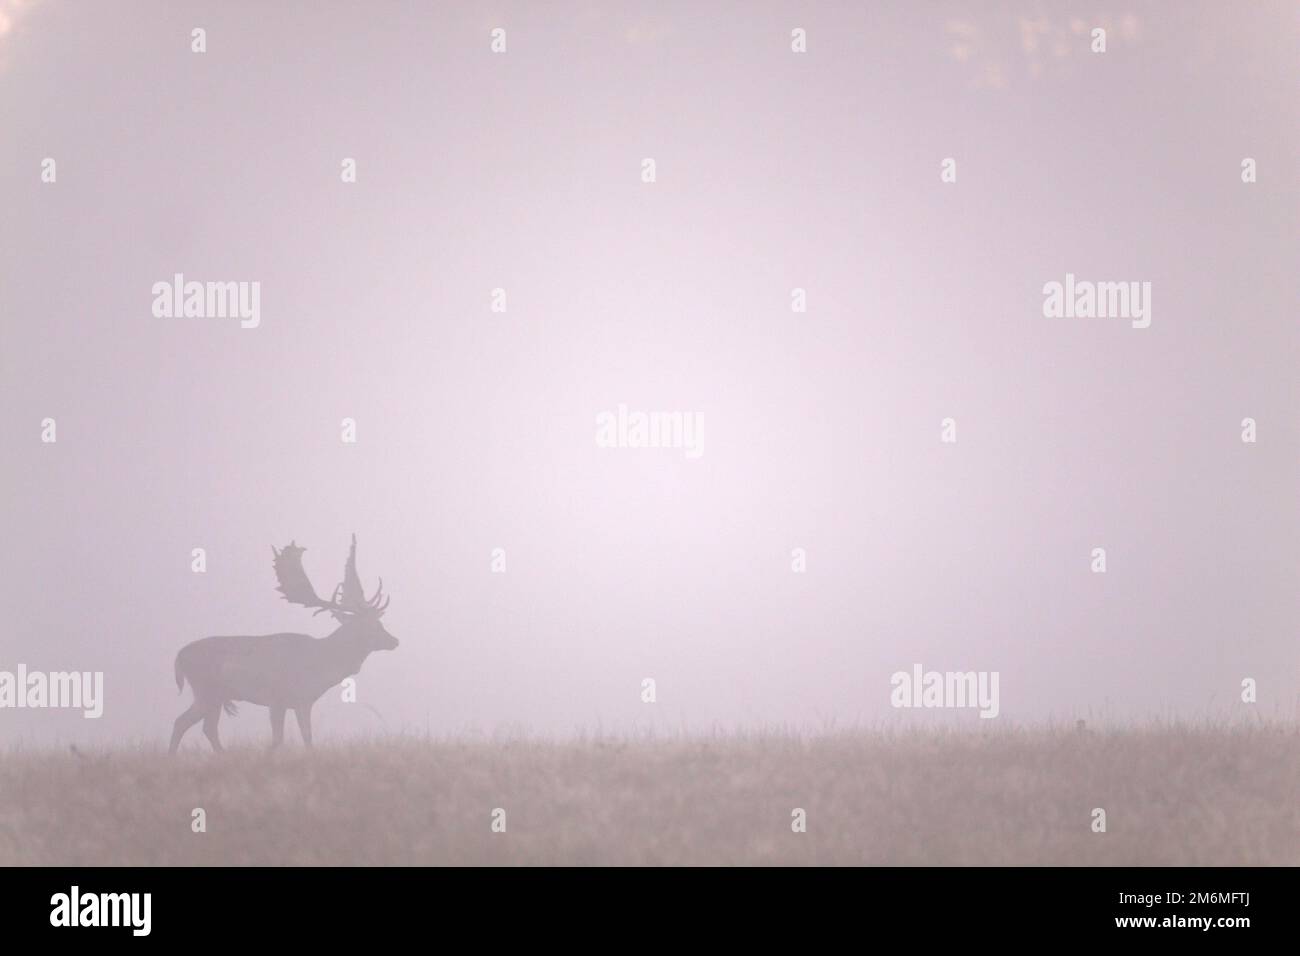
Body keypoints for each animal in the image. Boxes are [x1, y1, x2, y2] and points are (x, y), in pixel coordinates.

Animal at [169, 534, 398, 753]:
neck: (321, 662)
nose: (395, 640)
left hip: (213, 695)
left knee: (196, 725)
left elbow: (306, 737)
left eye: (379, 622)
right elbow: (280, 738)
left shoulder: (303, 700)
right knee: (193, 724)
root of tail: (179, 656)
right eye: (370, 625)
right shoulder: (279, 698)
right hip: (206, 689)